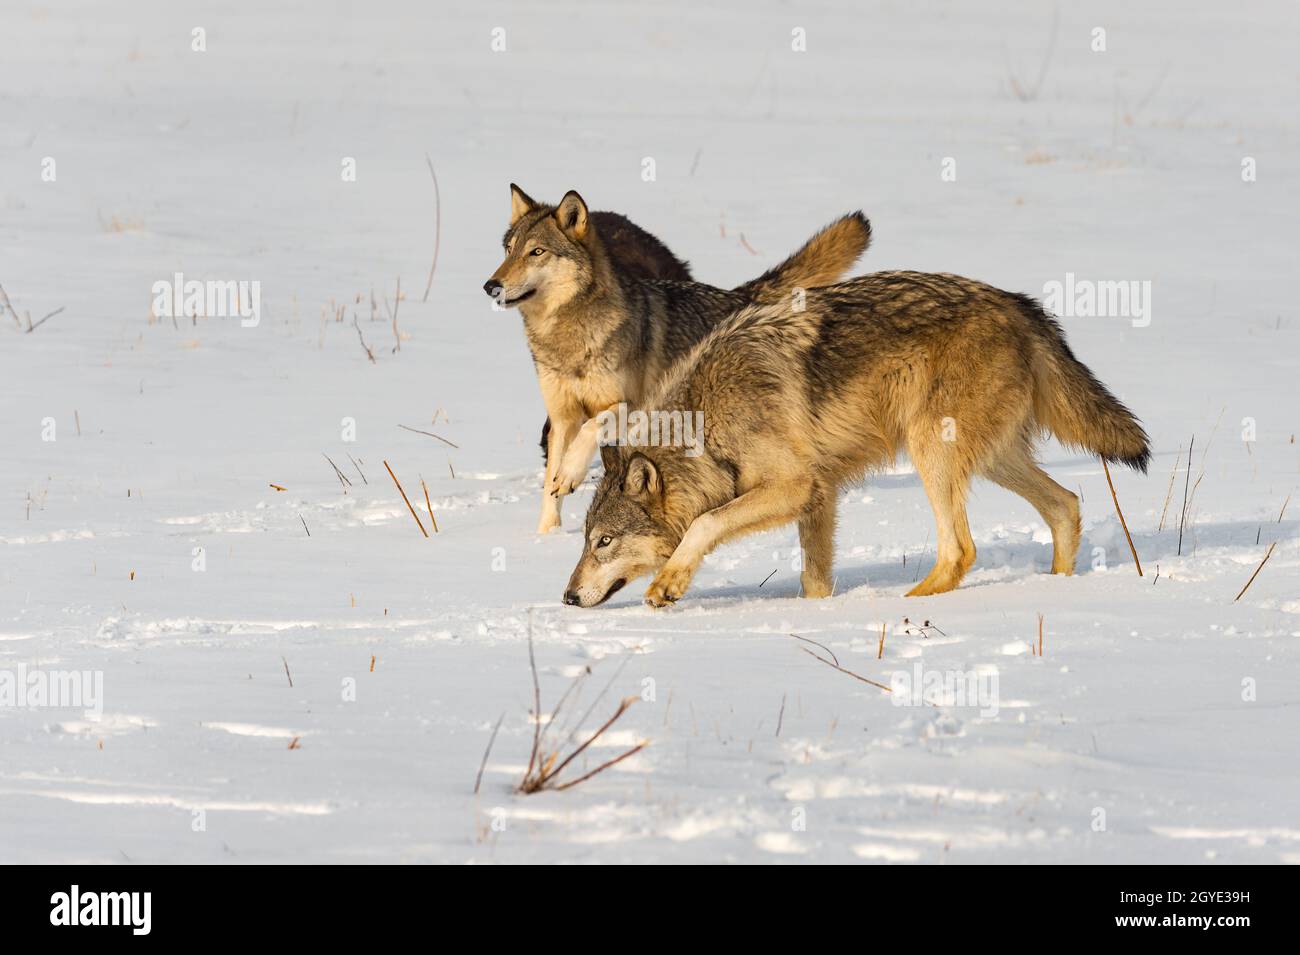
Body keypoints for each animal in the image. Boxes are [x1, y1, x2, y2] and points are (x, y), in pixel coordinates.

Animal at [484, 184, 871, 533]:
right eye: (509, 250)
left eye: (536, 252)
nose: (491, 286)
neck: (569, 338)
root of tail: (737, 298)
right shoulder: (561, 417)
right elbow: (551, 488)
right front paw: (545, 537)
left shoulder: (627, 406)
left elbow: (591, 430)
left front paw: (568, 475)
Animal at [562, 269, 1150, 607]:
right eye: (587, 541)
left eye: (604, 542)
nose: (566, 597)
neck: (710, 419)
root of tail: (1021, 305)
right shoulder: (819, 498)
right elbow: (814, 582)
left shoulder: (796, 486)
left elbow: (705, 524)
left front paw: (668, 585)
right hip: (990, 460)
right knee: (1065, 504)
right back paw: (1057, 586)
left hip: (932, 451)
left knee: (961, 549)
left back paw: (904, 605)